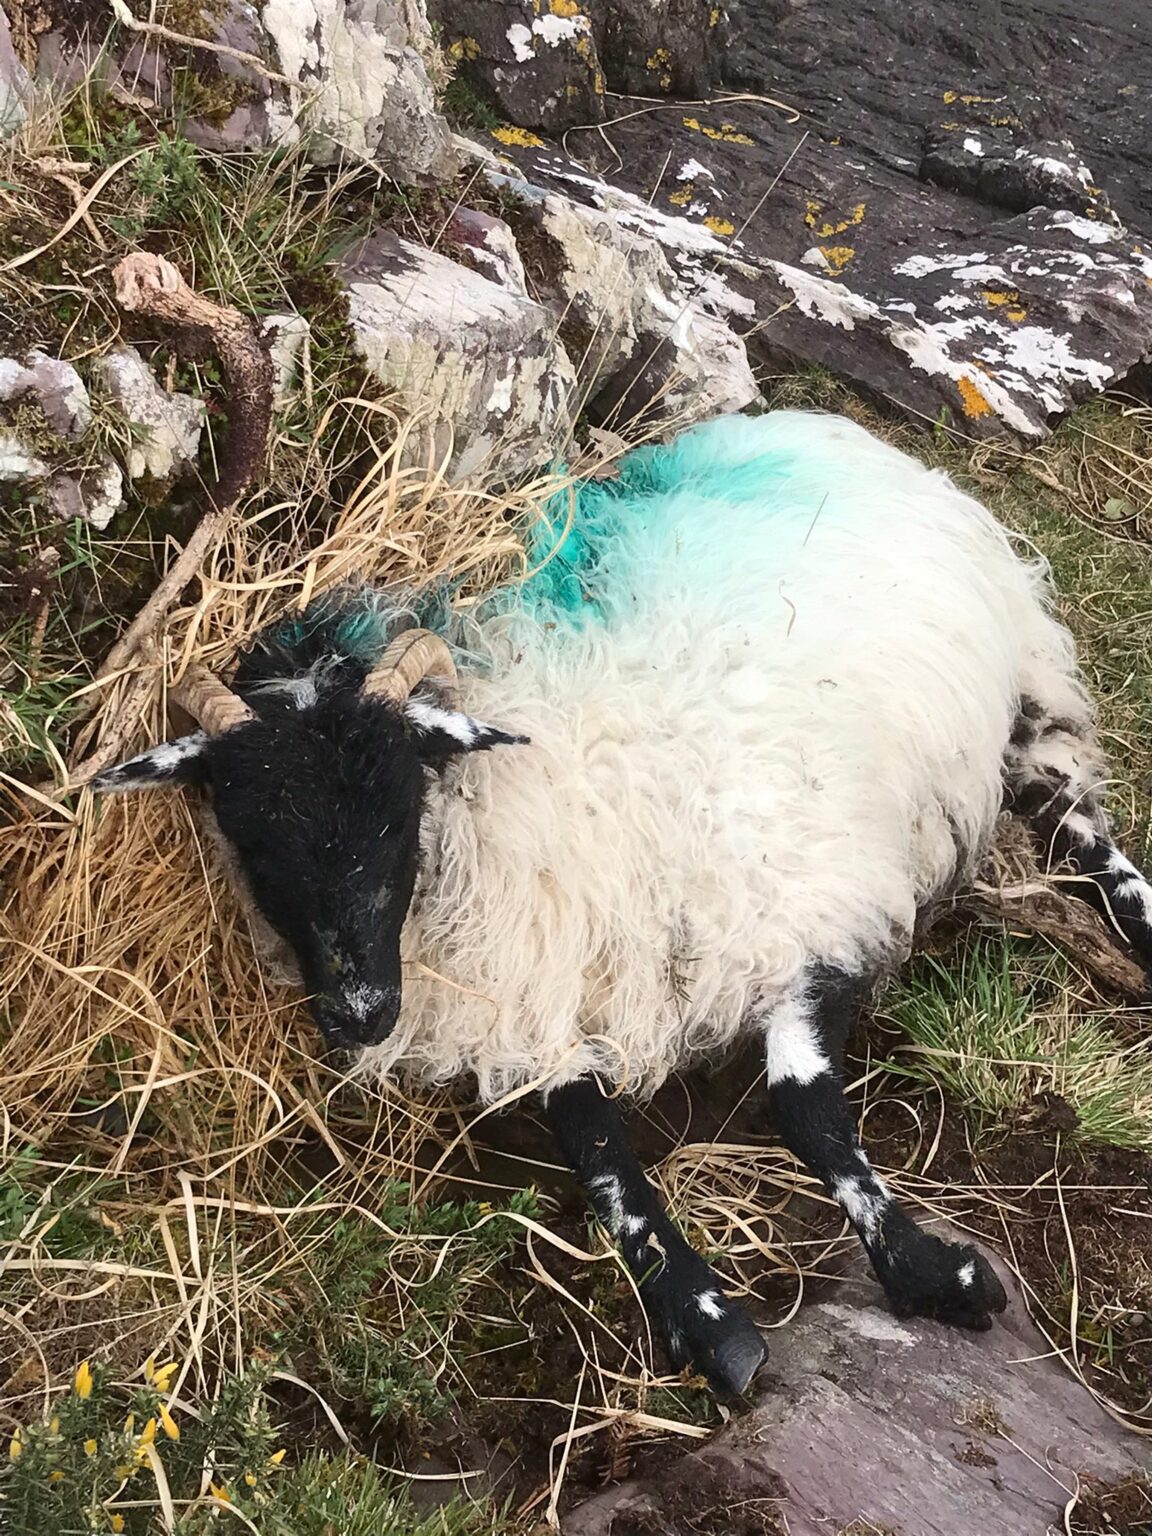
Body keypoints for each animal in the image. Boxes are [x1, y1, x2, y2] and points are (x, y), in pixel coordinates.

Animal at [94, 409, 1152, 1397]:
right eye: (252, 838)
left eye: (398, 809)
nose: (361, 1014)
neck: (536, 790)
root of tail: (807, 426)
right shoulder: (537, 987)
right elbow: (599, 1154)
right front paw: (708, 1321)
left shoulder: (801, 900)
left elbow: (805, 1107)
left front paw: (937, 1274)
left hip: (1020, 683)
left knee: (1073, 816)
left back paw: (1135, 918)